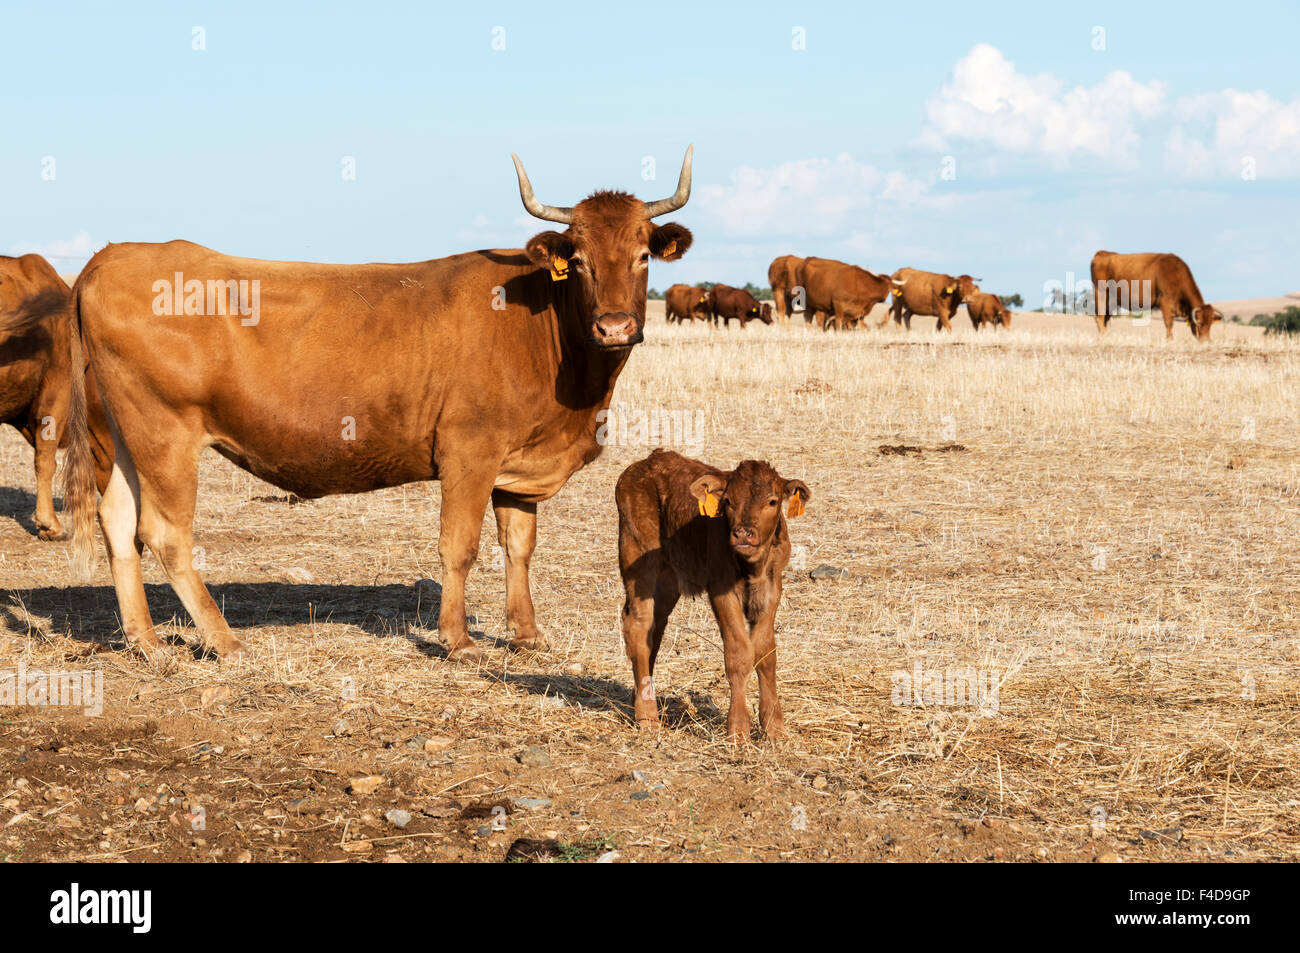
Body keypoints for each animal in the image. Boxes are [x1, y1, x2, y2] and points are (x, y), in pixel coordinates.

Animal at [61, 146, 696, 664]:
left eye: (643, 255)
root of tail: (109, 257)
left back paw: (146, 641)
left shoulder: (519, 462)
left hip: (123, 433)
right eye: (580, 259)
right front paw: (459, 641)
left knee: (118, 521)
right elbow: (459, 547)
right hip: (164, 432)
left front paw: (527, 634)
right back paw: (224, 641)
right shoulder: (470, 450)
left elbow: (518, 547)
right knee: (165, 531)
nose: (614, 326)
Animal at [614, 449, 810, 741]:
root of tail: (648, 461)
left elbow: (766, 654)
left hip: (669, 579)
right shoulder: (721, 589)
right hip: (637, 557)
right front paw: (738, 729)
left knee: (653, 632)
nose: (743, 533)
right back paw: (648, 717)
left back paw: (639, 699)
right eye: (728, 501)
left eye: (772, 501)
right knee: (637, 625)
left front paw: (774, 728)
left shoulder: (773, 587)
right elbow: (739, 653)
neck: (752, 567)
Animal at [1090, 251, 1223, 341]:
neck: (1177, 274)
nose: (1206, 341)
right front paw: (1169, 340)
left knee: (1105, 318)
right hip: (1101, 294)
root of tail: (1102, 253)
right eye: (1199, 323)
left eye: (1210, 324)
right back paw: (1104, 336)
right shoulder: (1165, 302)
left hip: (1112, 301)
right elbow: (1169, 323)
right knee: (1100, 317)